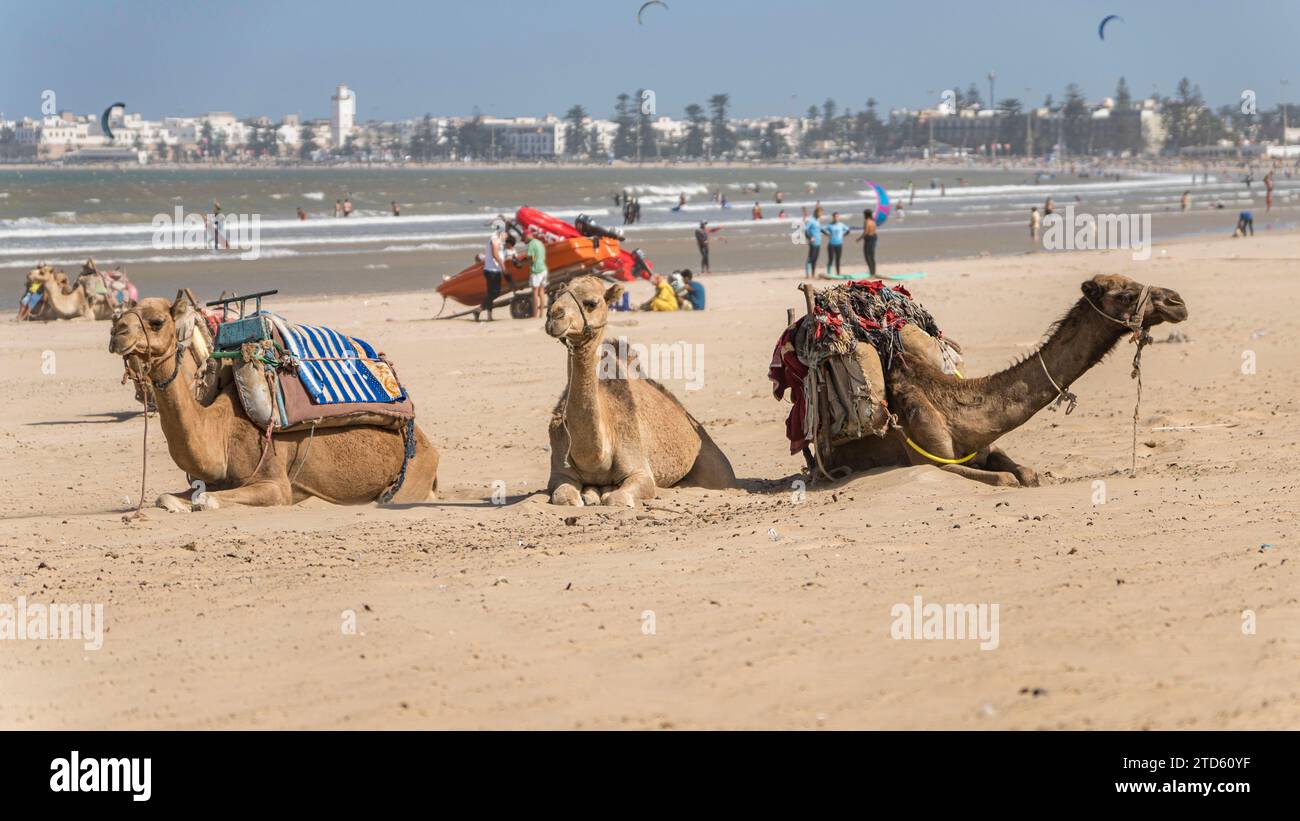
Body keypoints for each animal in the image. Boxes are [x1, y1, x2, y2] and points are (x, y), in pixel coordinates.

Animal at [108, 294, 439, 511]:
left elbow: (208, 500)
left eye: (156, 321)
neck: (221, 429)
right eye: (120, 316)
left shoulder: (276, 484)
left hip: (412, 477)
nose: (117, 333)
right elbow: (165, 497)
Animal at [544, 275, 736, 507]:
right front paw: (588, 494)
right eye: (556, 296)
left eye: (591, 302)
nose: (554, 315)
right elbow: (564, 497)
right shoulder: (559, 472)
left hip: (715, 463)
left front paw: (605, 494)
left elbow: (618, 497)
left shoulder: (639, 469)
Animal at [823, 273, 1189, 486]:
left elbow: (1027, 474)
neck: (955, 408)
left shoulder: (988, 444)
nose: (1177, 302)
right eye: (1125, 294)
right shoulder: (929, 460)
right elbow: (1005, 480)